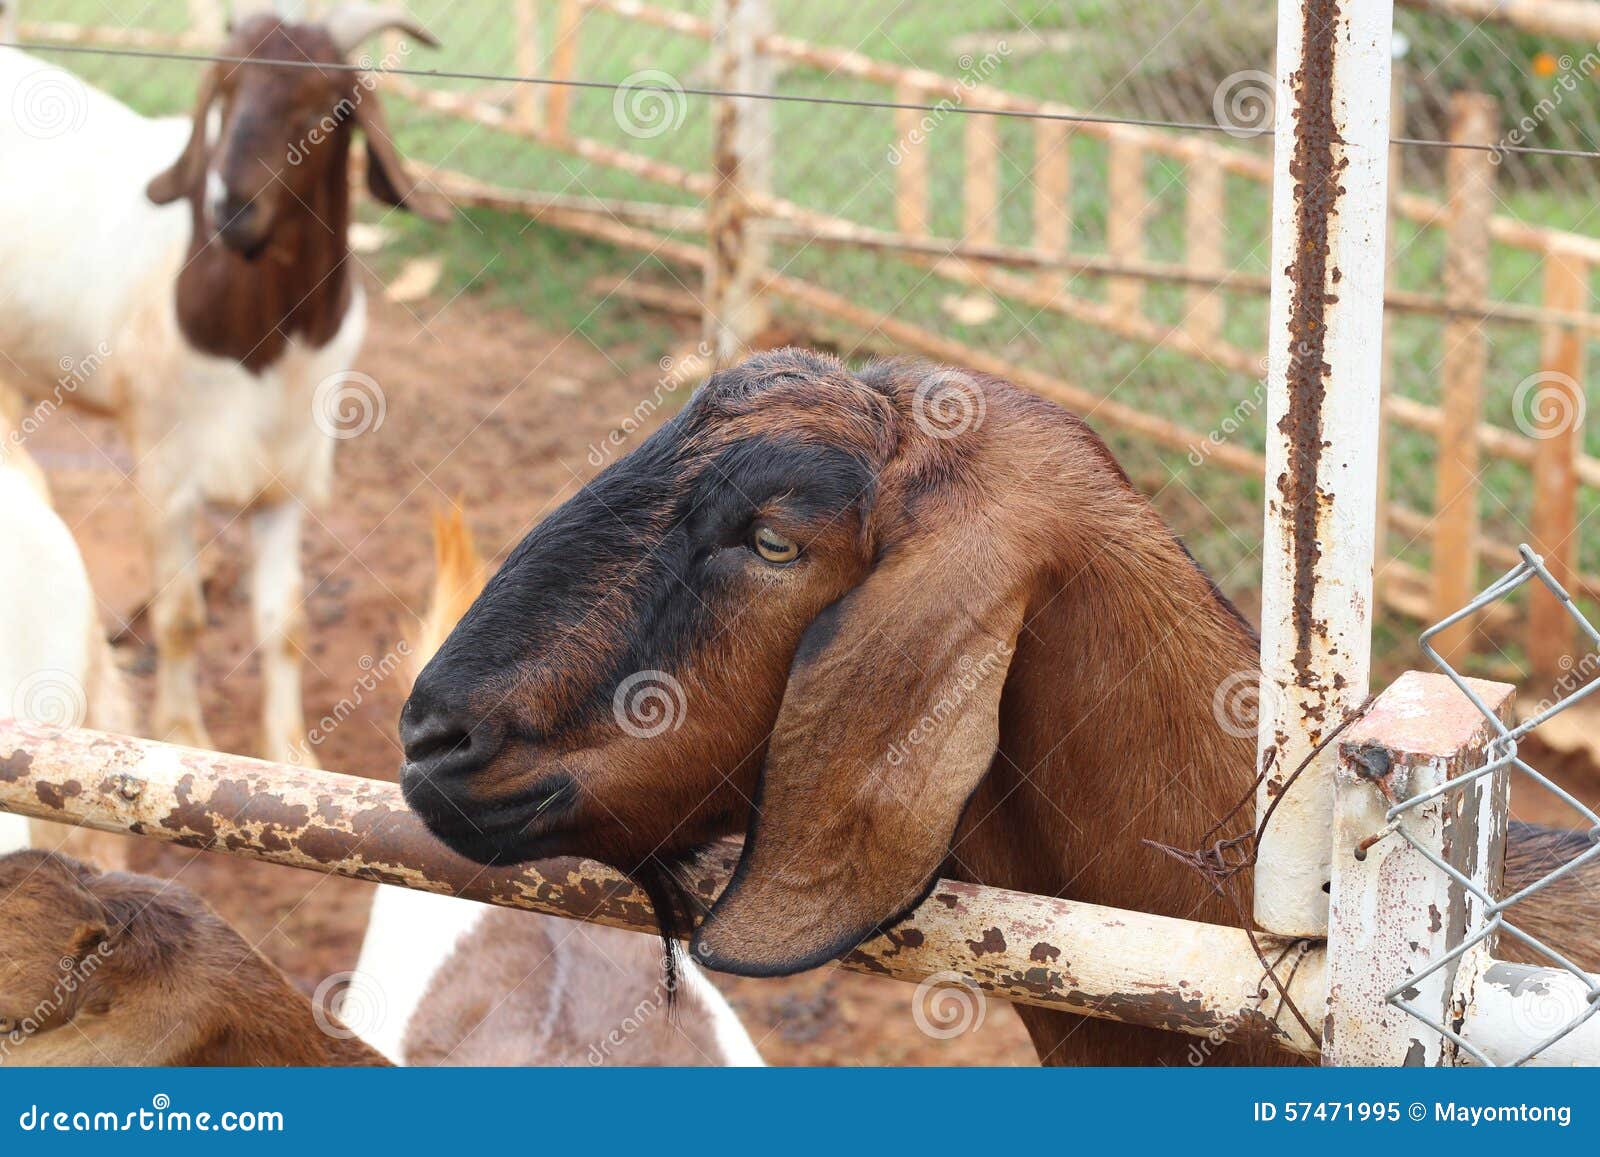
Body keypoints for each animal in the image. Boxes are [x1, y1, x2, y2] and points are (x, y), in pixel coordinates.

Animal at [0, 6, 447, 765]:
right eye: (228, 92)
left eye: (326, 105)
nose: (232, 210)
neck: (264, 346)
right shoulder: (164, 471)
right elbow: (181, 616)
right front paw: (183, 732)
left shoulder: (289, 476)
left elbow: (285, 622)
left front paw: (290, 752)